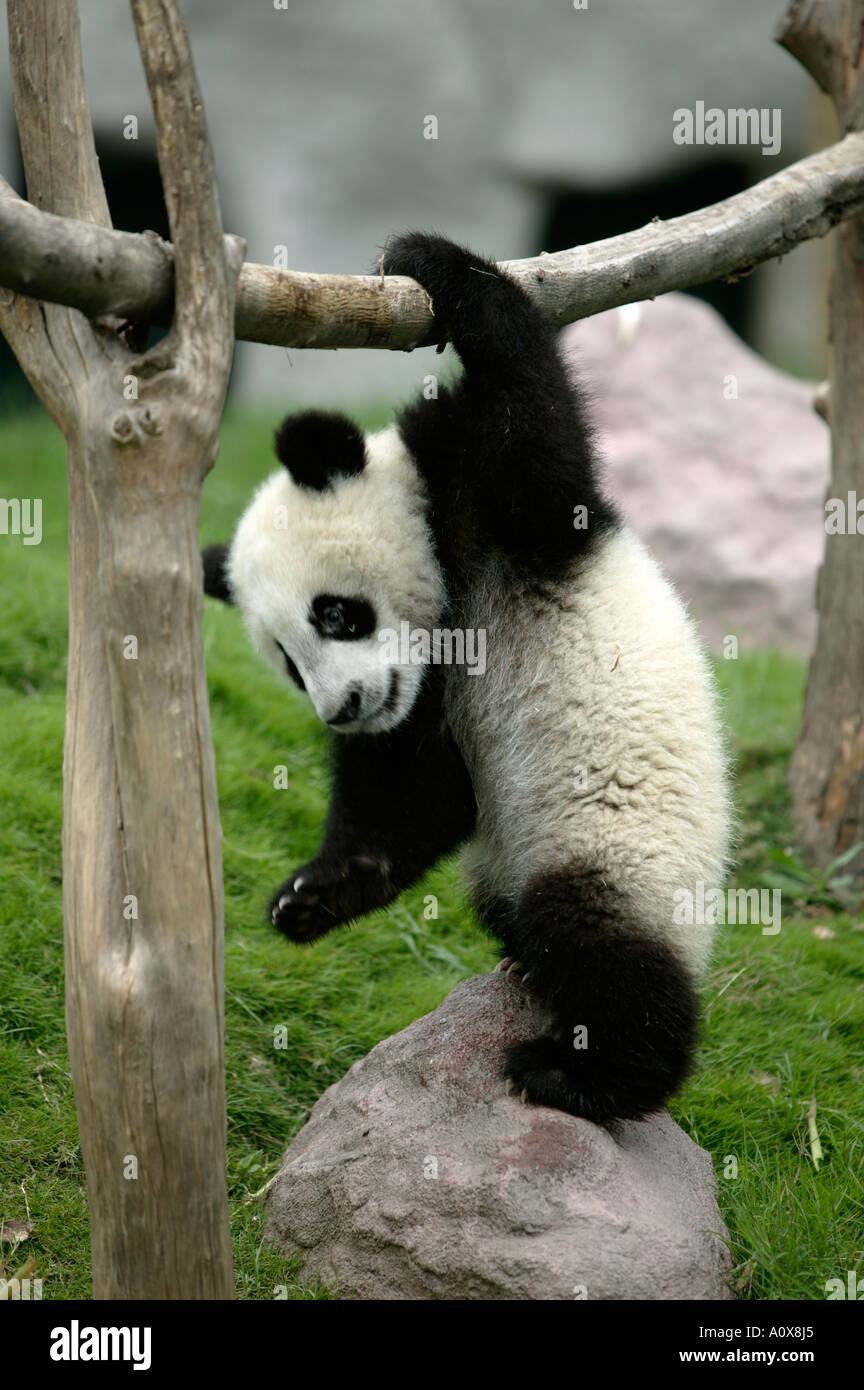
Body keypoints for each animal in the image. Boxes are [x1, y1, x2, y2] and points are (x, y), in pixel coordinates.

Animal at [203, 232, 730, 1127]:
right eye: (288, 665)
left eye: (335, 614)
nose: (344, 709)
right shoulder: (422, 699)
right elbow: (416, 796)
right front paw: (312, 896)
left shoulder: (501, 509)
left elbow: (536, 419)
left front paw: (434, 263)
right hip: (509, 861)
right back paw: (525, 969)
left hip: (621, 844)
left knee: (608, 948)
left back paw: (585, 1072)